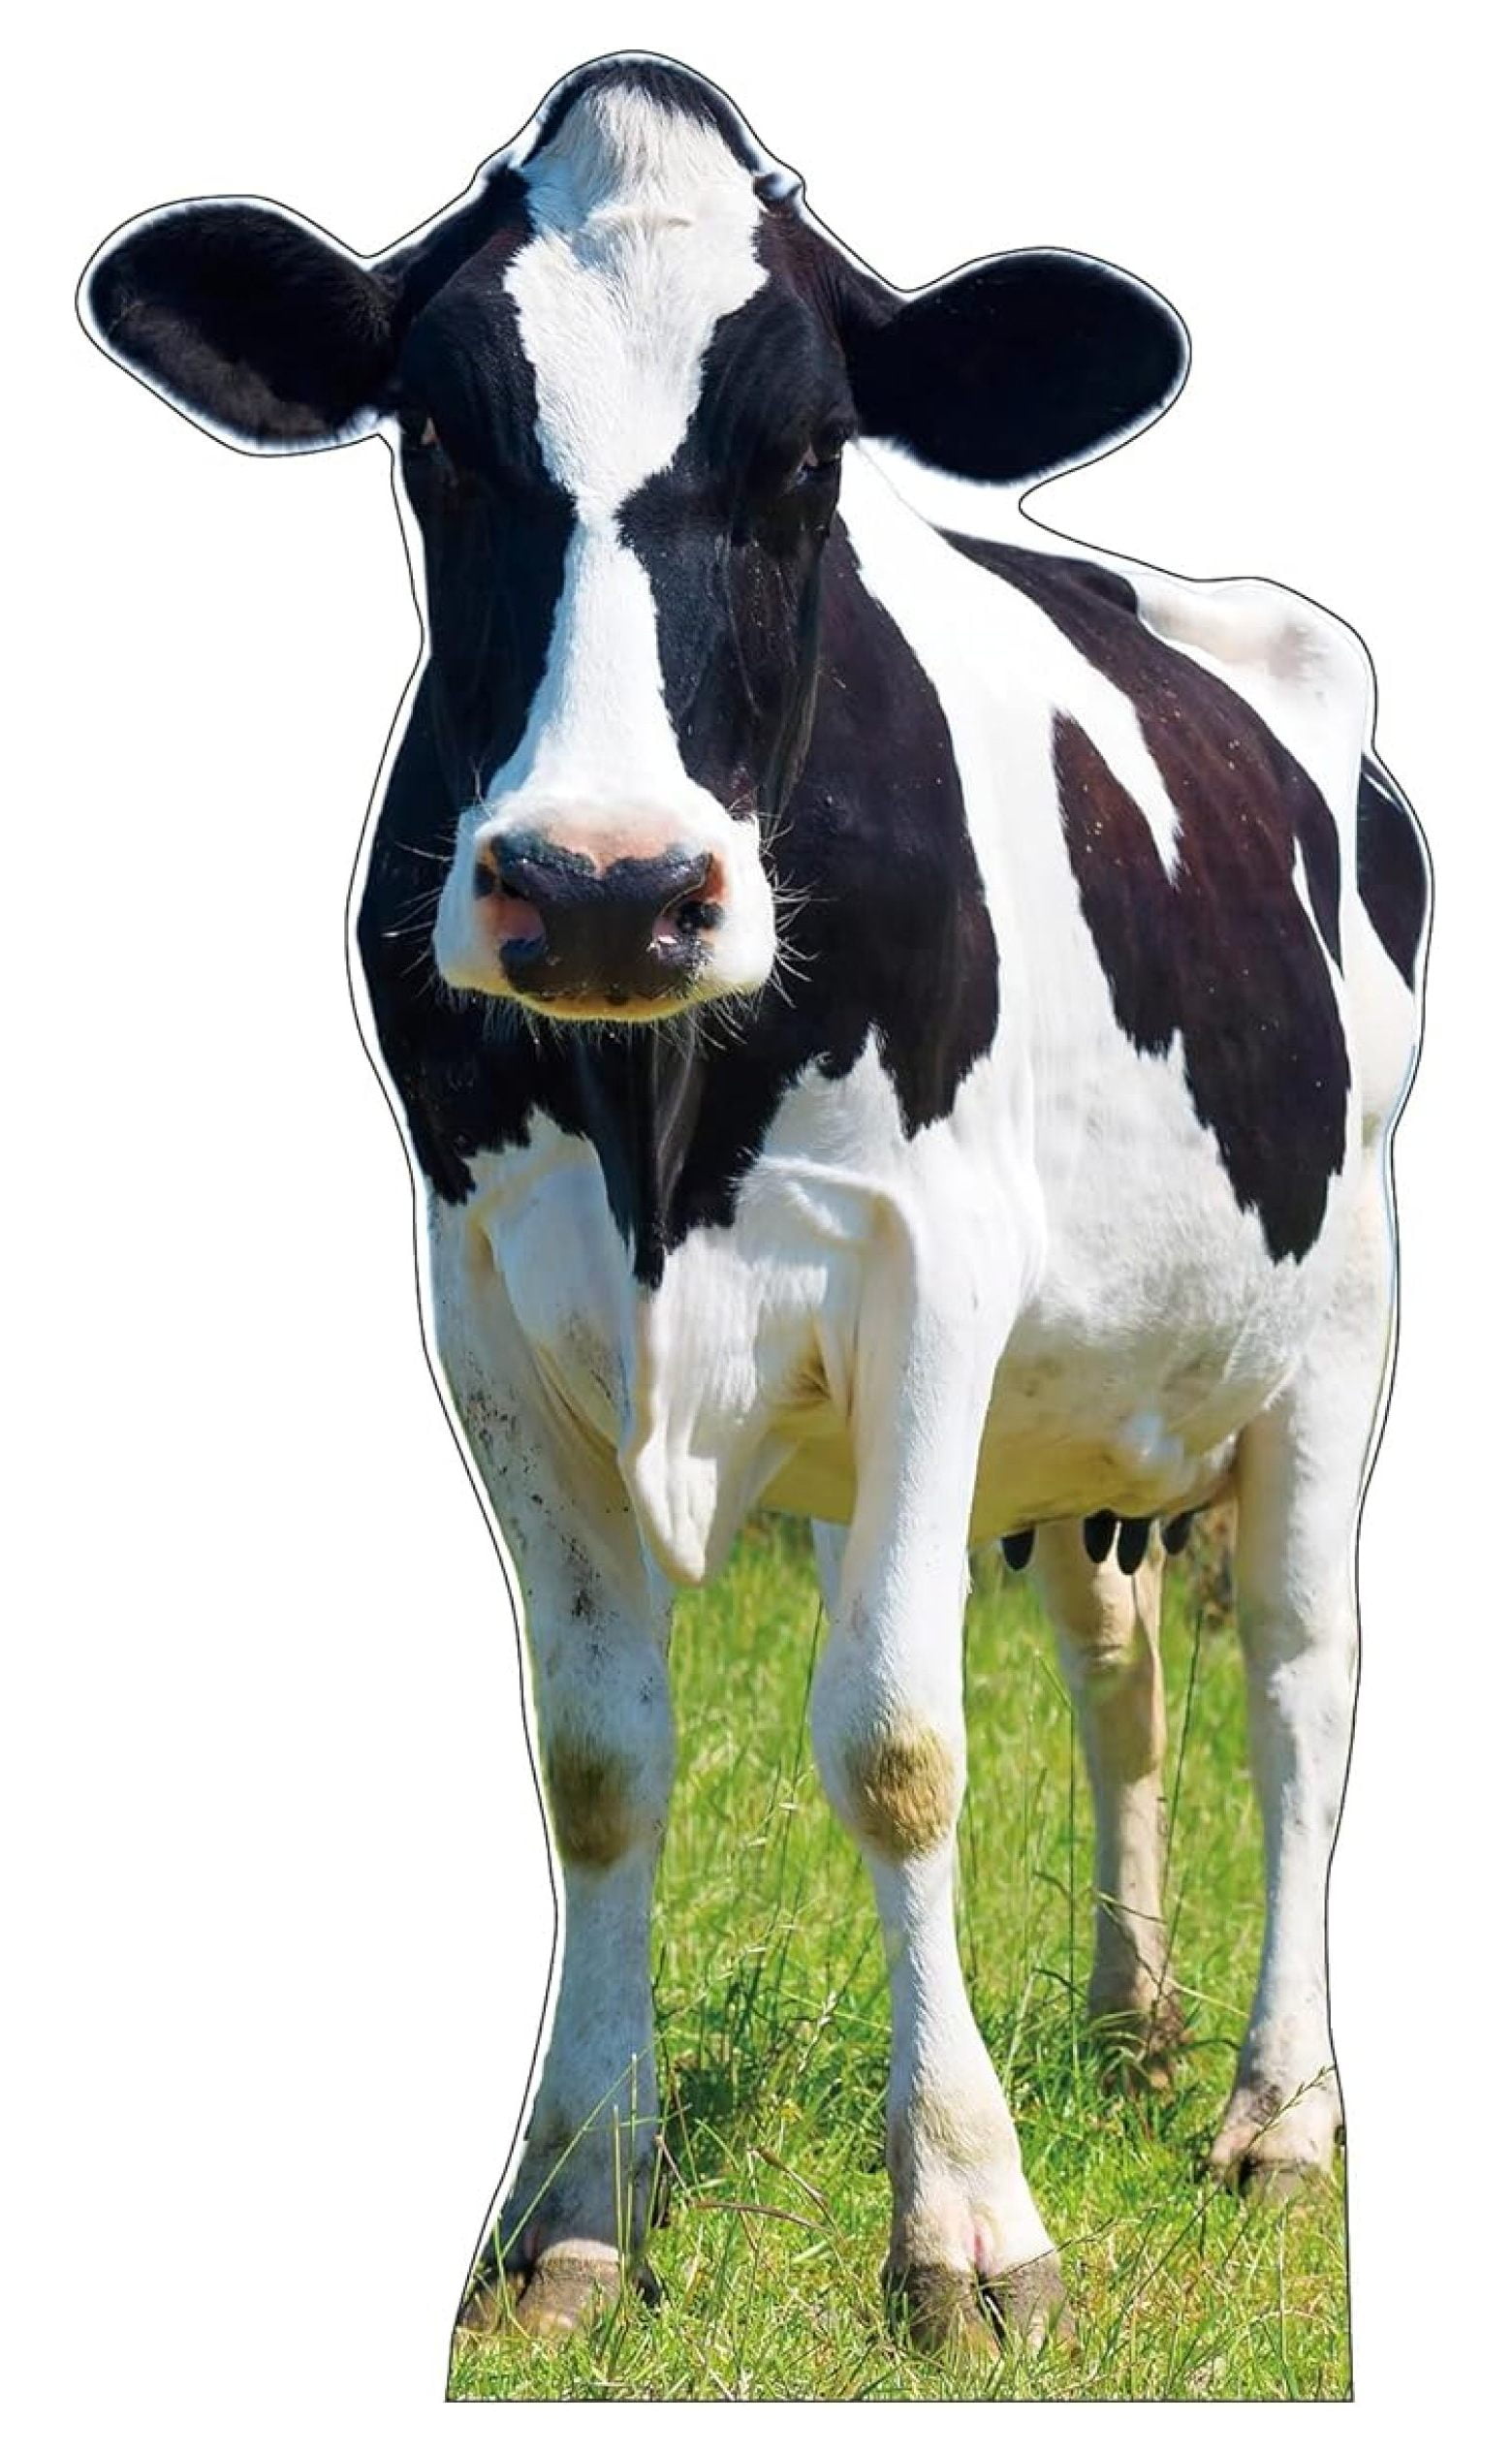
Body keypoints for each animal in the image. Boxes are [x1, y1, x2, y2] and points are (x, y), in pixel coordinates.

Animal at [82, 53, 1428, 2358]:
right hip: (1091, 1417)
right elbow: (596, 1758)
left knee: (1301, 1683)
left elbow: (895, 1744)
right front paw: (576, 2213)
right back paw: (1131, 2020)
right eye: (440, 439)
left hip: (1338, 1332)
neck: (658, 1113)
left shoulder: (927, 1276)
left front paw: (967, 2226)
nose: (608, 884)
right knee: (1116, 1668)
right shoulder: (480, 1300)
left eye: (807, 456)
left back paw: (1273, 2115)